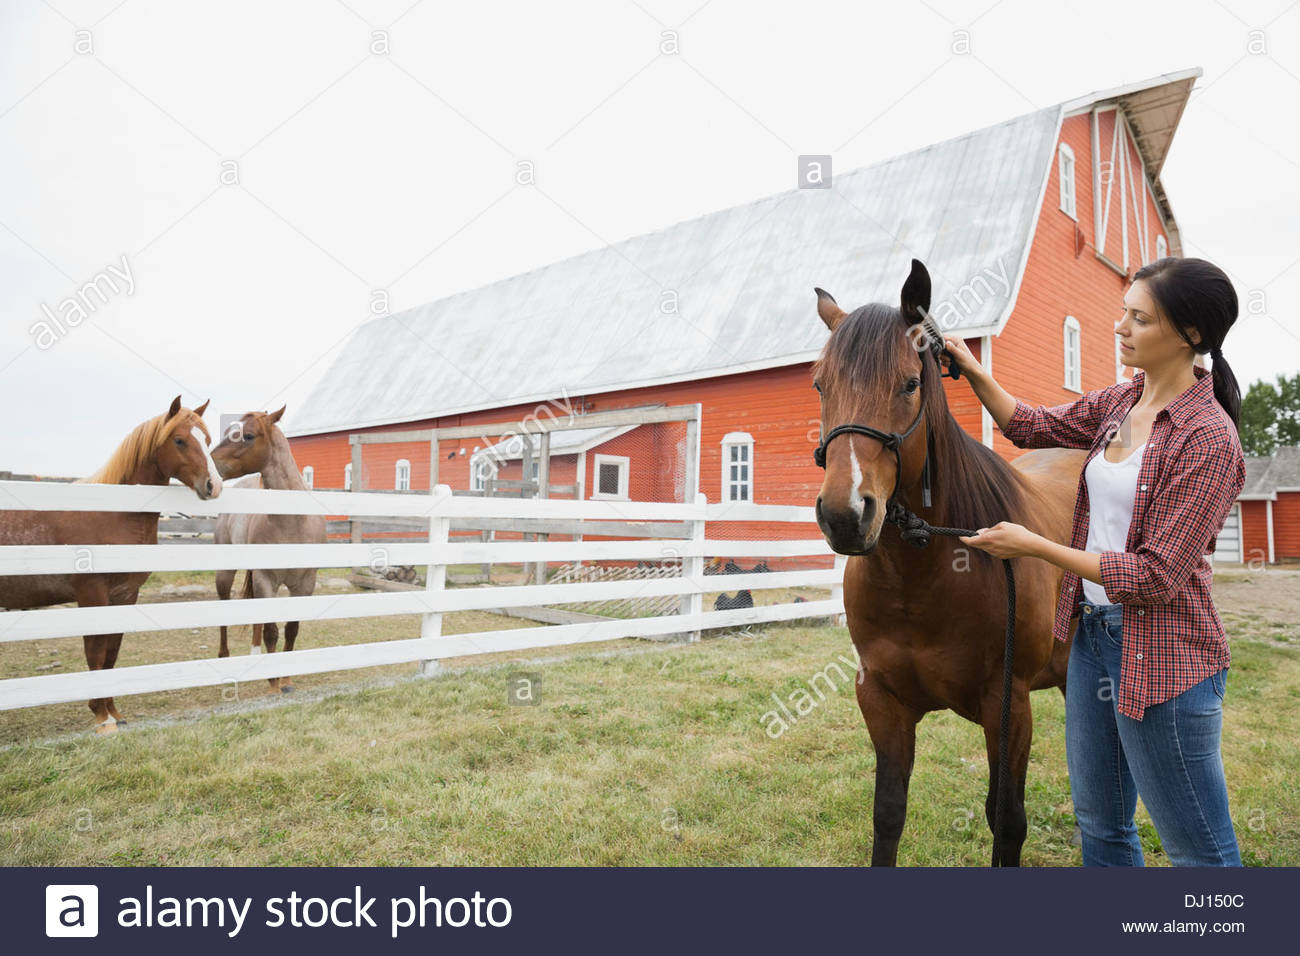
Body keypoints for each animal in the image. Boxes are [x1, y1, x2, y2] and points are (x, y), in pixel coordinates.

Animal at [0, 396, 223, 734]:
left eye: (207, 440)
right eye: (179, 440)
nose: (214, 485)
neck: (112, 512)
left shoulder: (125, 595)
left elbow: (111, 654)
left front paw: (114, 712)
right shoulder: (93, 595)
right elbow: (95, 651)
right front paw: (101, 718)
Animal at [210, 406, 326, 693]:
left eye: (248, 435)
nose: (210, 468)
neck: (292, 521)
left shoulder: (305, 584)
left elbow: (291, 630)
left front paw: (286, 679)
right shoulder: (266, 580)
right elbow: (271, 632)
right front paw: (274, 683)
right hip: (226, 573)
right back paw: (225, 657)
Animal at [811, 259, 1084, 866]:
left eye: (910, 384)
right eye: (820, 385)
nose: (845, 515)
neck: (921, 580)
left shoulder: (1008, 707)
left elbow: (1006, 822)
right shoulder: (881, 701)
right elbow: (888, 814)